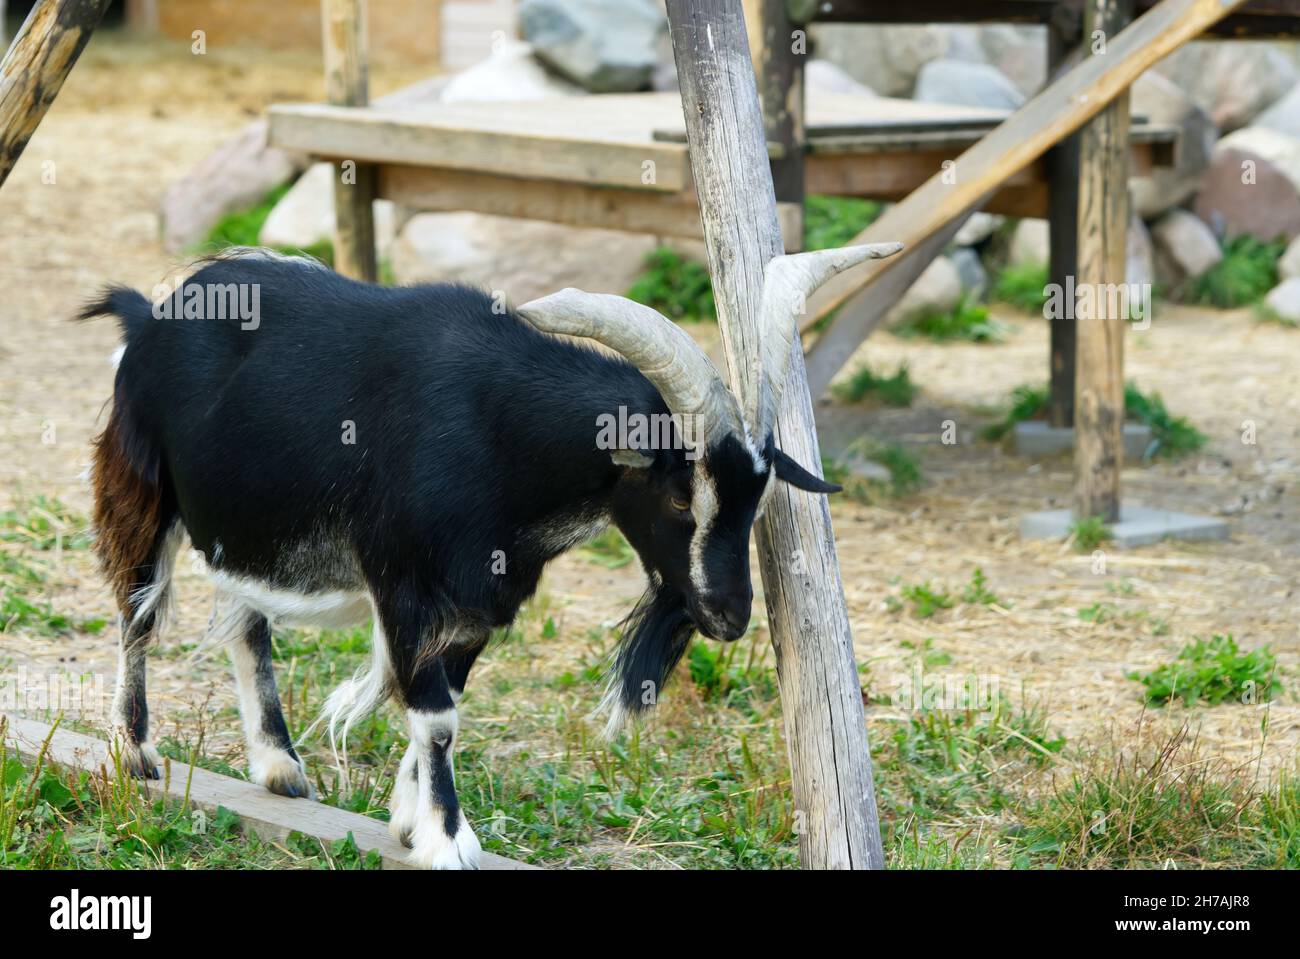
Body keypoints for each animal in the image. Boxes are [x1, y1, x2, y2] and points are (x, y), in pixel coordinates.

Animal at [81, 242, 899, 869]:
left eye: (756, 498)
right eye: (678, 499)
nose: (729, 617)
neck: (498, 431)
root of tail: (151, 313)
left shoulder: (479, 601)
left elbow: (446, 702)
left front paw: (409, 820)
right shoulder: (404, 588)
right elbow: (437, 716)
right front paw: (450, 840)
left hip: (242, 523)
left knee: (246, 623)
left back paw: (279, 765)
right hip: (141, 488)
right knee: (136, 609)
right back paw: (136, 751)